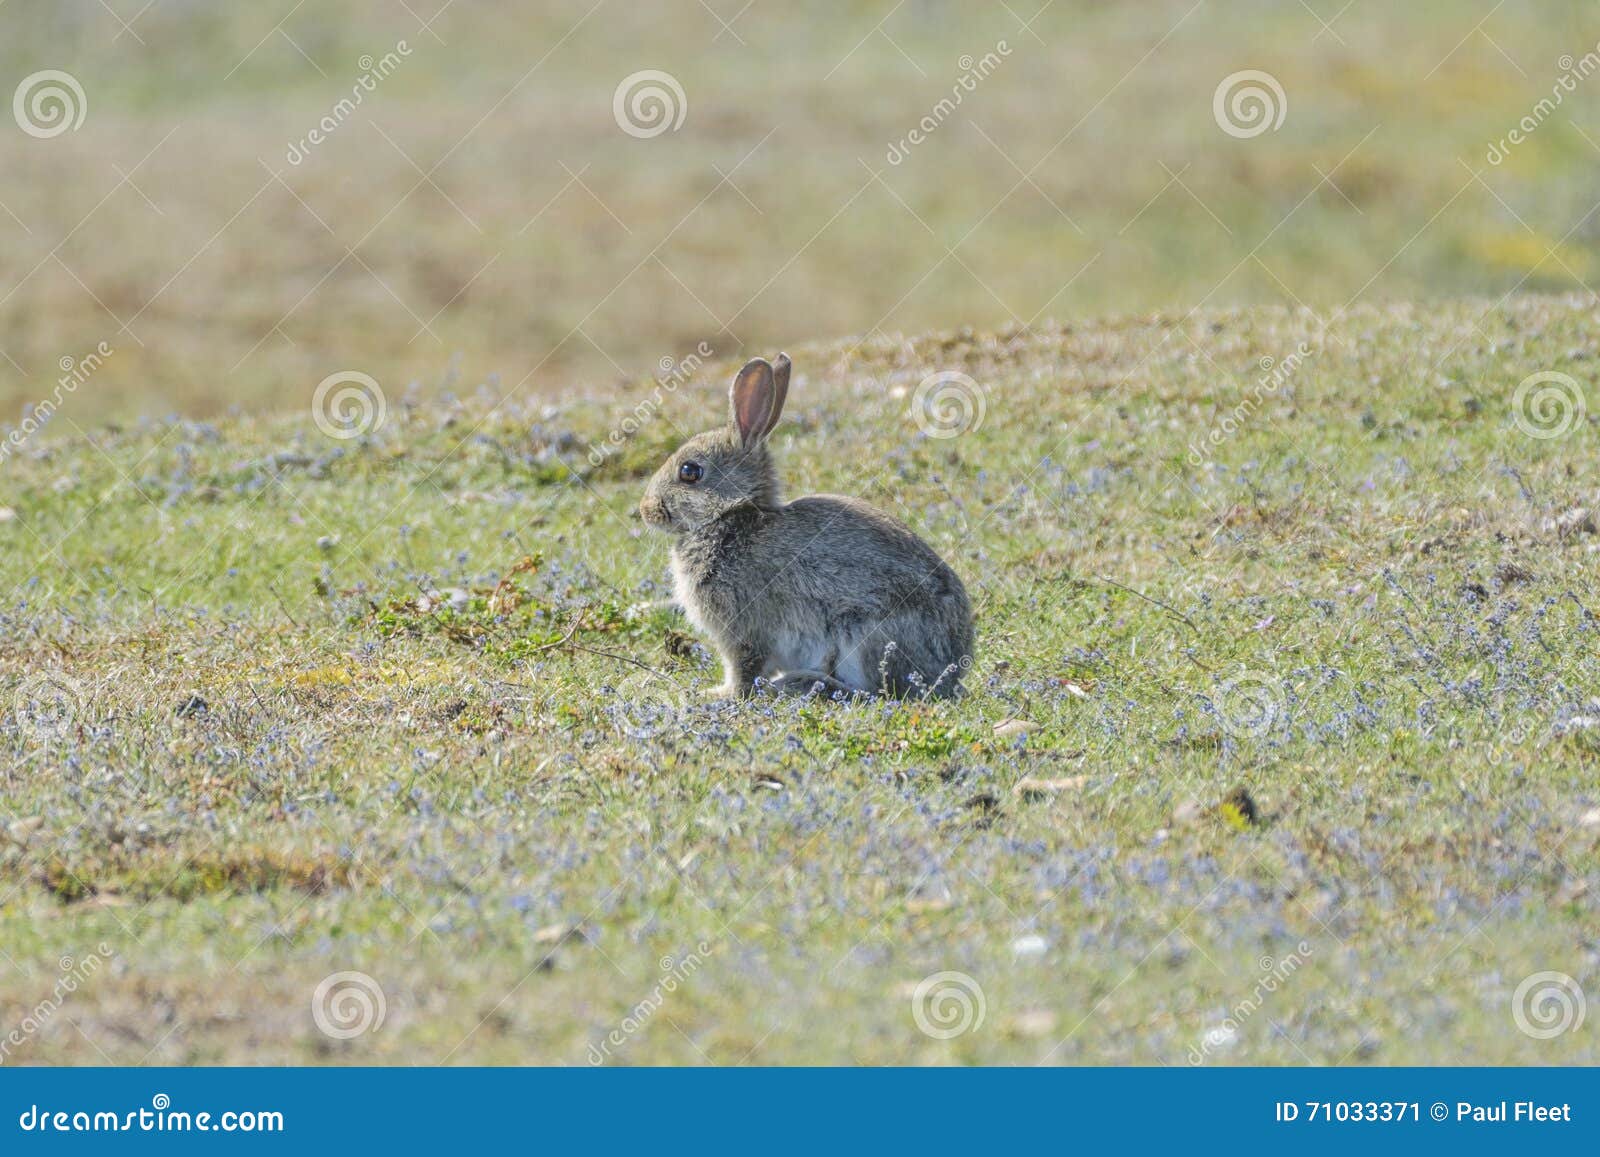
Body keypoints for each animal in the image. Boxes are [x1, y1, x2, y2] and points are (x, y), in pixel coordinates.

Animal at [639, 353, 974, 700]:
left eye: (689, 472)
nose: (645, 510)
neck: (729, 518)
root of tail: (951, 669)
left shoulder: (743, 630)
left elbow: (744, 670)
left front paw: (719, 694)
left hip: (864, 636)